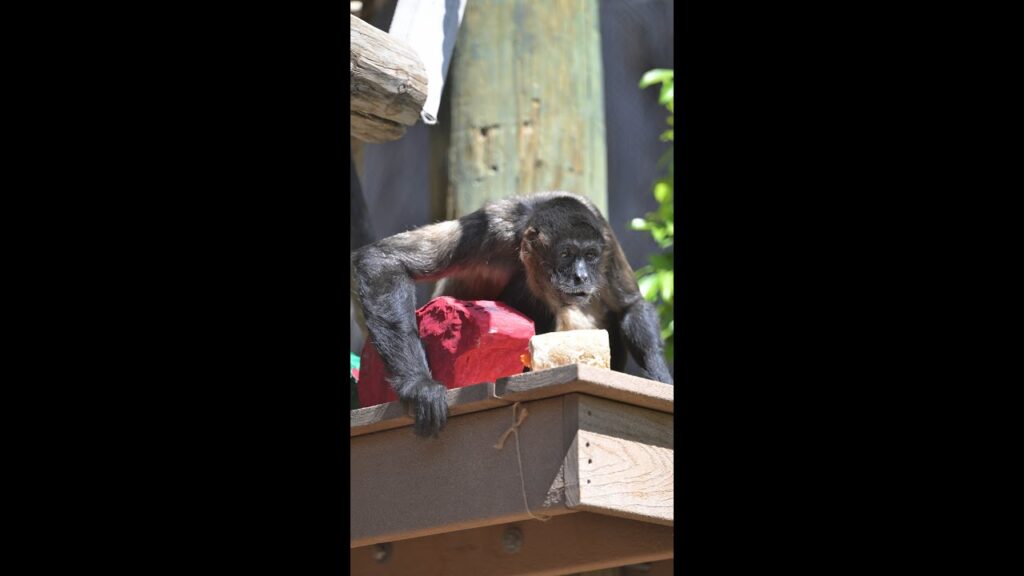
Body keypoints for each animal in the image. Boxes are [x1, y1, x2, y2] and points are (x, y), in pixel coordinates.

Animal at [351, 191, 673, 437]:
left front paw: (661, 380)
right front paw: (418, 385)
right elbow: (384, 260)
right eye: (566, 254)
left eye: (591, 256)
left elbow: (630, 305)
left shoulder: (602, 230)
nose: (581, 276)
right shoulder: (493, 227)